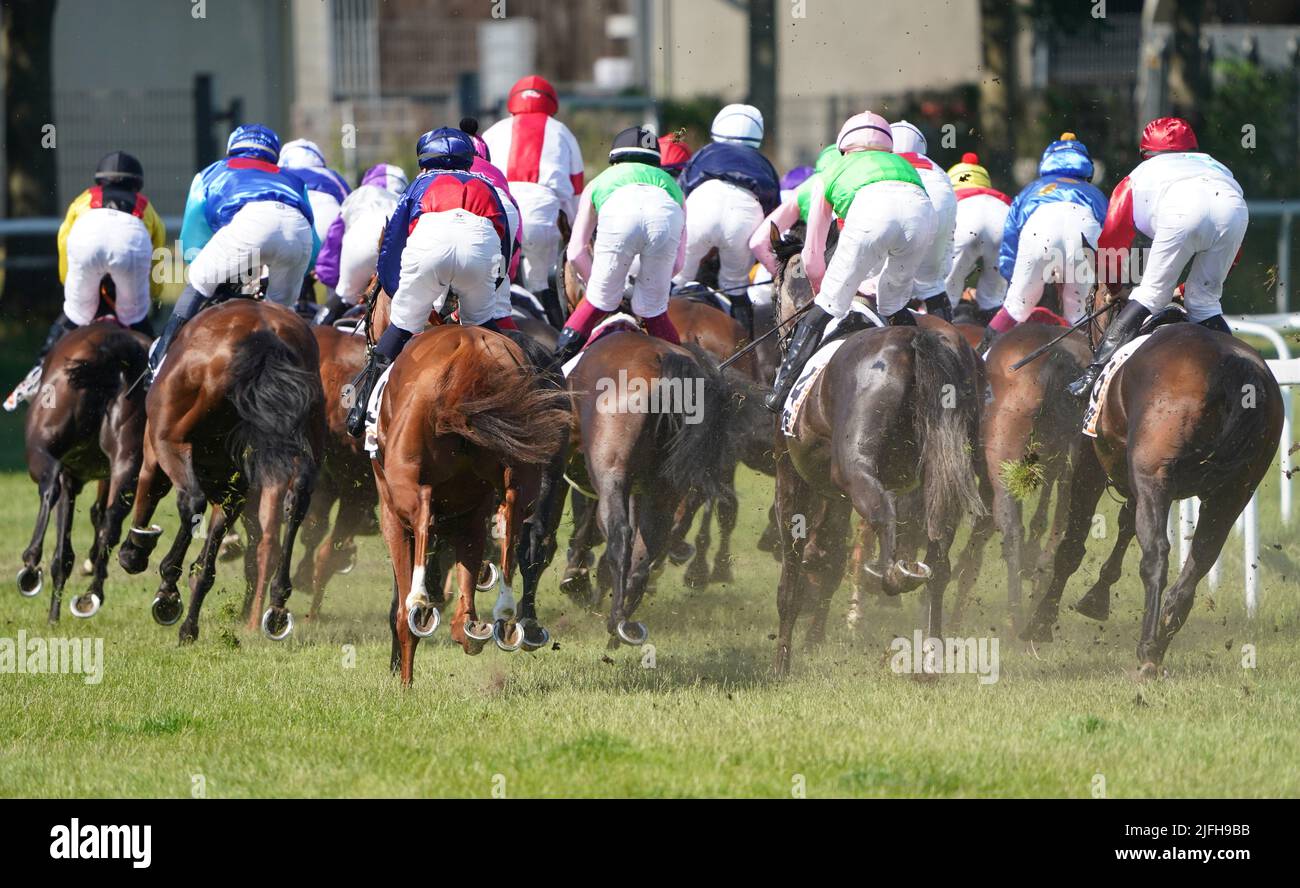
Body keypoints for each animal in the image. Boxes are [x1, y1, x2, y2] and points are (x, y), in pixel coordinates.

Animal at [18, 322, 149, 622]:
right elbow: (71, 548)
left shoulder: (71, 477)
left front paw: (52, 616)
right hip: (127, 460)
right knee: (111, 521)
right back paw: (92, 595)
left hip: (40, 448)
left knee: (50, 483)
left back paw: (30, 565)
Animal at [117, 299, 325, 643]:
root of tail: (264, 335)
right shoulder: (233, 485)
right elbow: (209, 549)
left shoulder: (156, 454)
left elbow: (155, 494)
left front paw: (138, 554)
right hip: (305, 437)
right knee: (298, 498)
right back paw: (276, 605)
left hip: (169, 442)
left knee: (191, 501)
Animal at [769, 229, 987, 675]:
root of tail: (916, 341)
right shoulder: (832, 495)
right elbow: (829, 557)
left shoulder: (792, 478)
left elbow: (794, 574)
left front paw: (782, 661)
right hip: (946, 472)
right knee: (939, 555)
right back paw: (928, 657)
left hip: (854, 470)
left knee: (882, 510)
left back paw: (892, 575)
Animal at [1022, 301, 1284, 675]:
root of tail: (1236, 372)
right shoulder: (1140, 477)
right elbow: (1125, 526)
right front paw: (1097, 596)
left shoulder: (1091, 462)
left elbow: (1073, 544)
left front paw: (1041, 620)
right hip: (1233, 492)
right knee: (1200, 560)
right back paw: (1162, 636)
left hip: (1154, 476)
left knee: (1156, 555)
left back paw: (1147, 647)